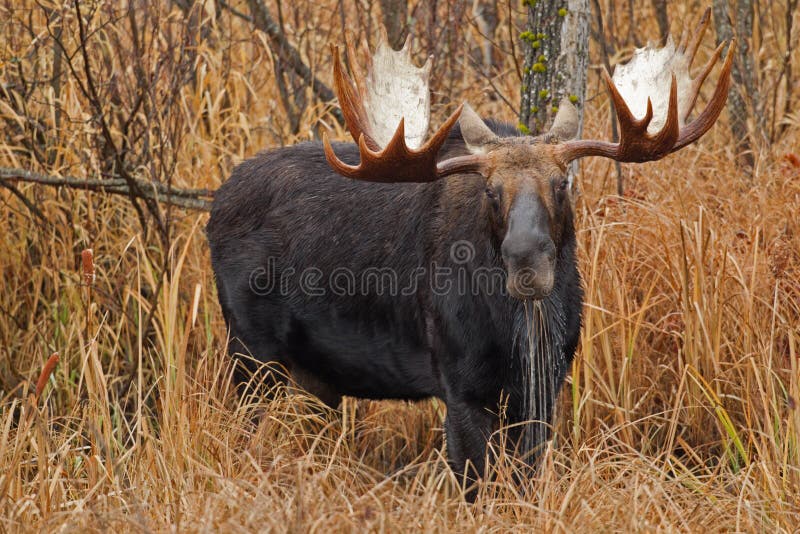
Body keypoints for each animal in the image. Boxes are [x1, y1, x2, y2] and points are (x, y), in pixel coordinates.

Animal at [206, 11, 733, 495]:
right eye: (491, 192)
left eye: (562, 183)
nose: (526, 261)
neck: (519, 333)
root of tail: (214, 207)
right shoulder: (460, 386)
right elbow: (477, 485)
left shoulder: (543, 390)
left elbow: (526, 481)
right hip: (251, 353)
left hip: (314, 377)